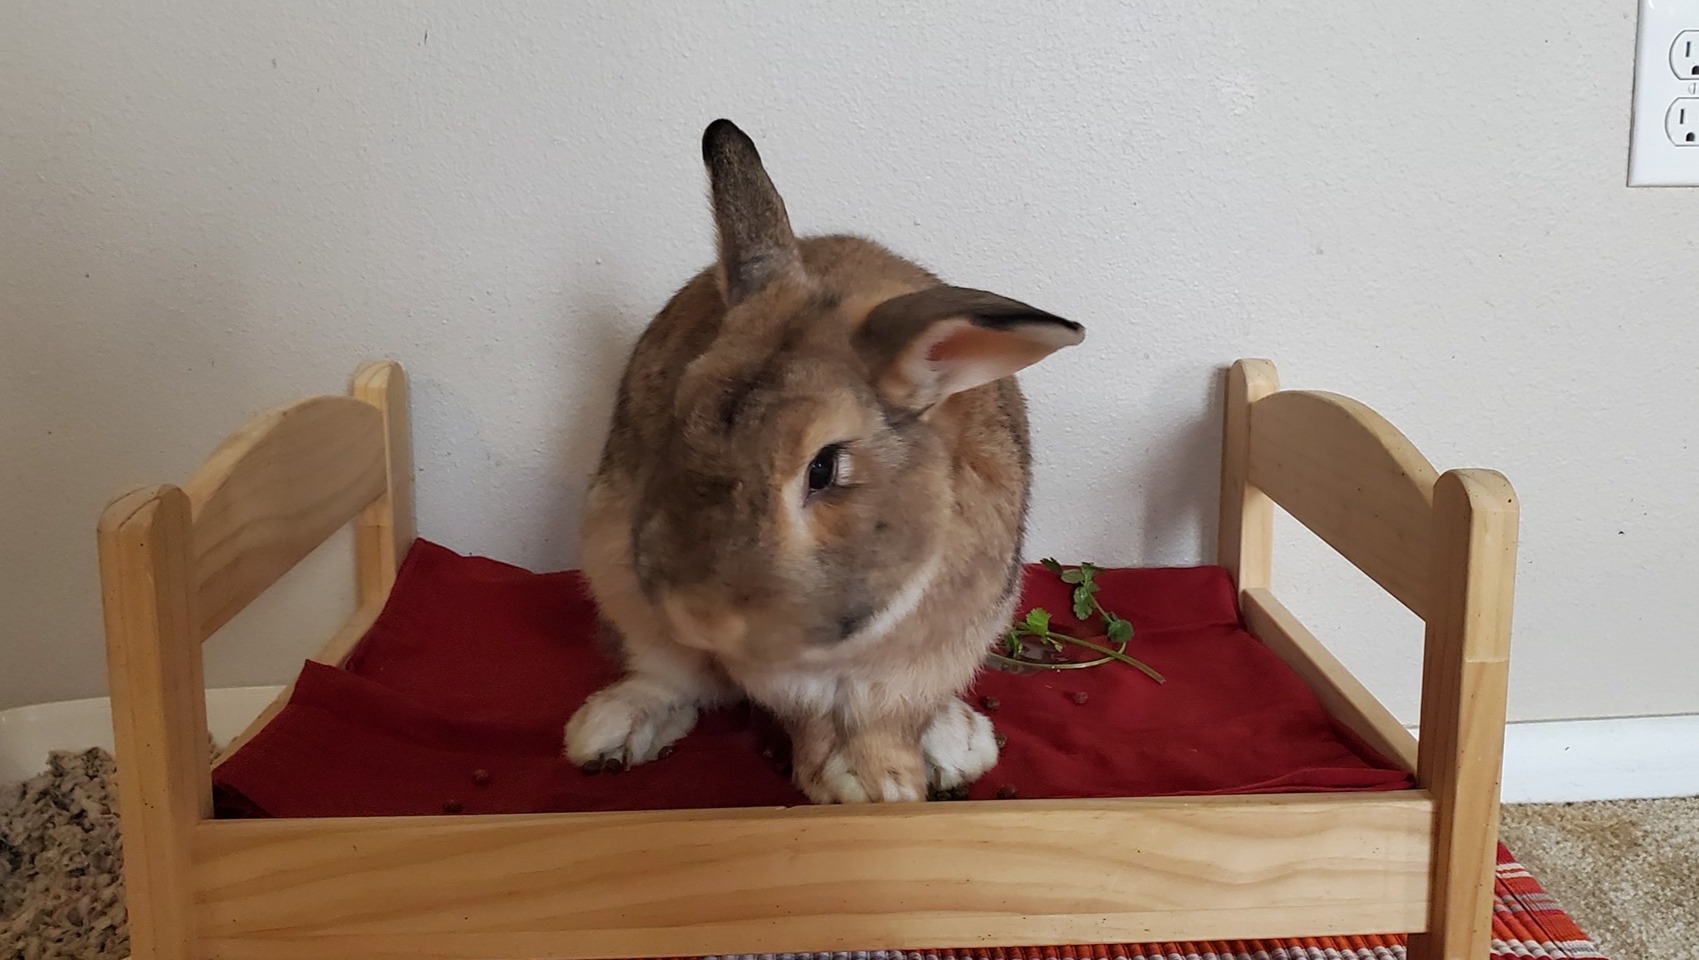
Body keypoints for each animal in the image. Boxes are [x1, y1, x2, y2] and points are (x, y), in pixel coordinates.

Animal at [564, 119, 1084, 803]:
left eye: (824, 468)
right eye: (678, 417)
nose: (698, 614)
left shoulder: (934, 653)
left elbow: (890, 718)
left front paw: (888, 785)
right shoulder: (785, 673)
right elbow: (810, 718)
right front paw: (851, 787)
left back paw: (958, 744)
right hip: (615, 577)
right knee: (671, 677)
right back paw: (608, 731)